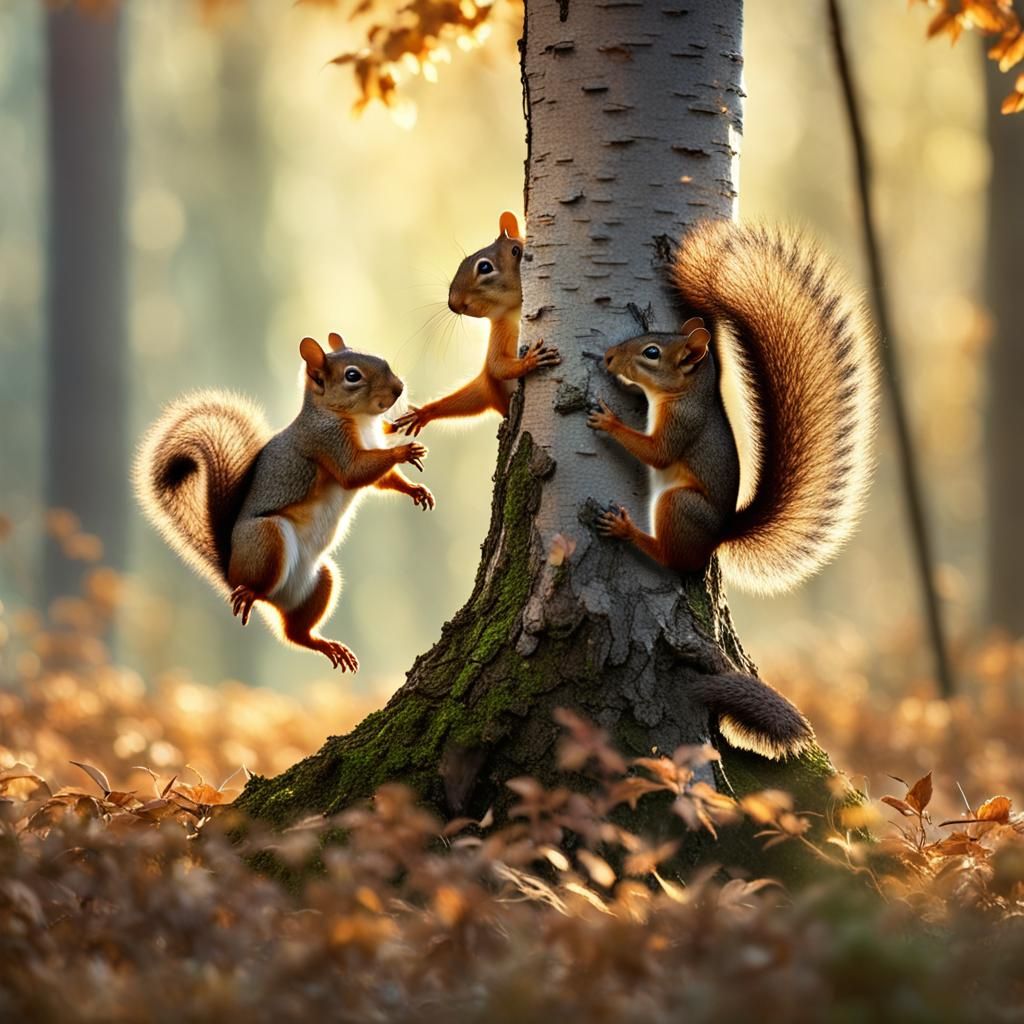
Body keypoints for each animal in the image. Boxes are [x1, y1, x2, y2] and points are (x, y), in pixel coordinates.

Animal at [135, 333, 432, 670]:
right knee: (265, 599)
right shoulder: (327, 442)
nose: (398, 388)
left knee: (295, 635)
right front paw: (403, 451)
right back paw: (251, 593)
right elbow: (354, 472)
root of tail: (232, 574)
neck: (358, 420)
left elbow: (382, 479)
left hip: (322, 580)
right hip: (267, 537)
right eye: (352, 376)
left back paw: (326, 645)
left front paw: (415, 489)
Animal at [391, 211, 561, 436]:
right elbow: (497, 364)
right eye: (463, 261)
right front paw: (531, 360)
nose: (453, 303)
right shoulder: (501, 326)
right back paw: (424, 412)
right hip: (489, 388)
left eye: (485, 267)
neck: (515, 310)